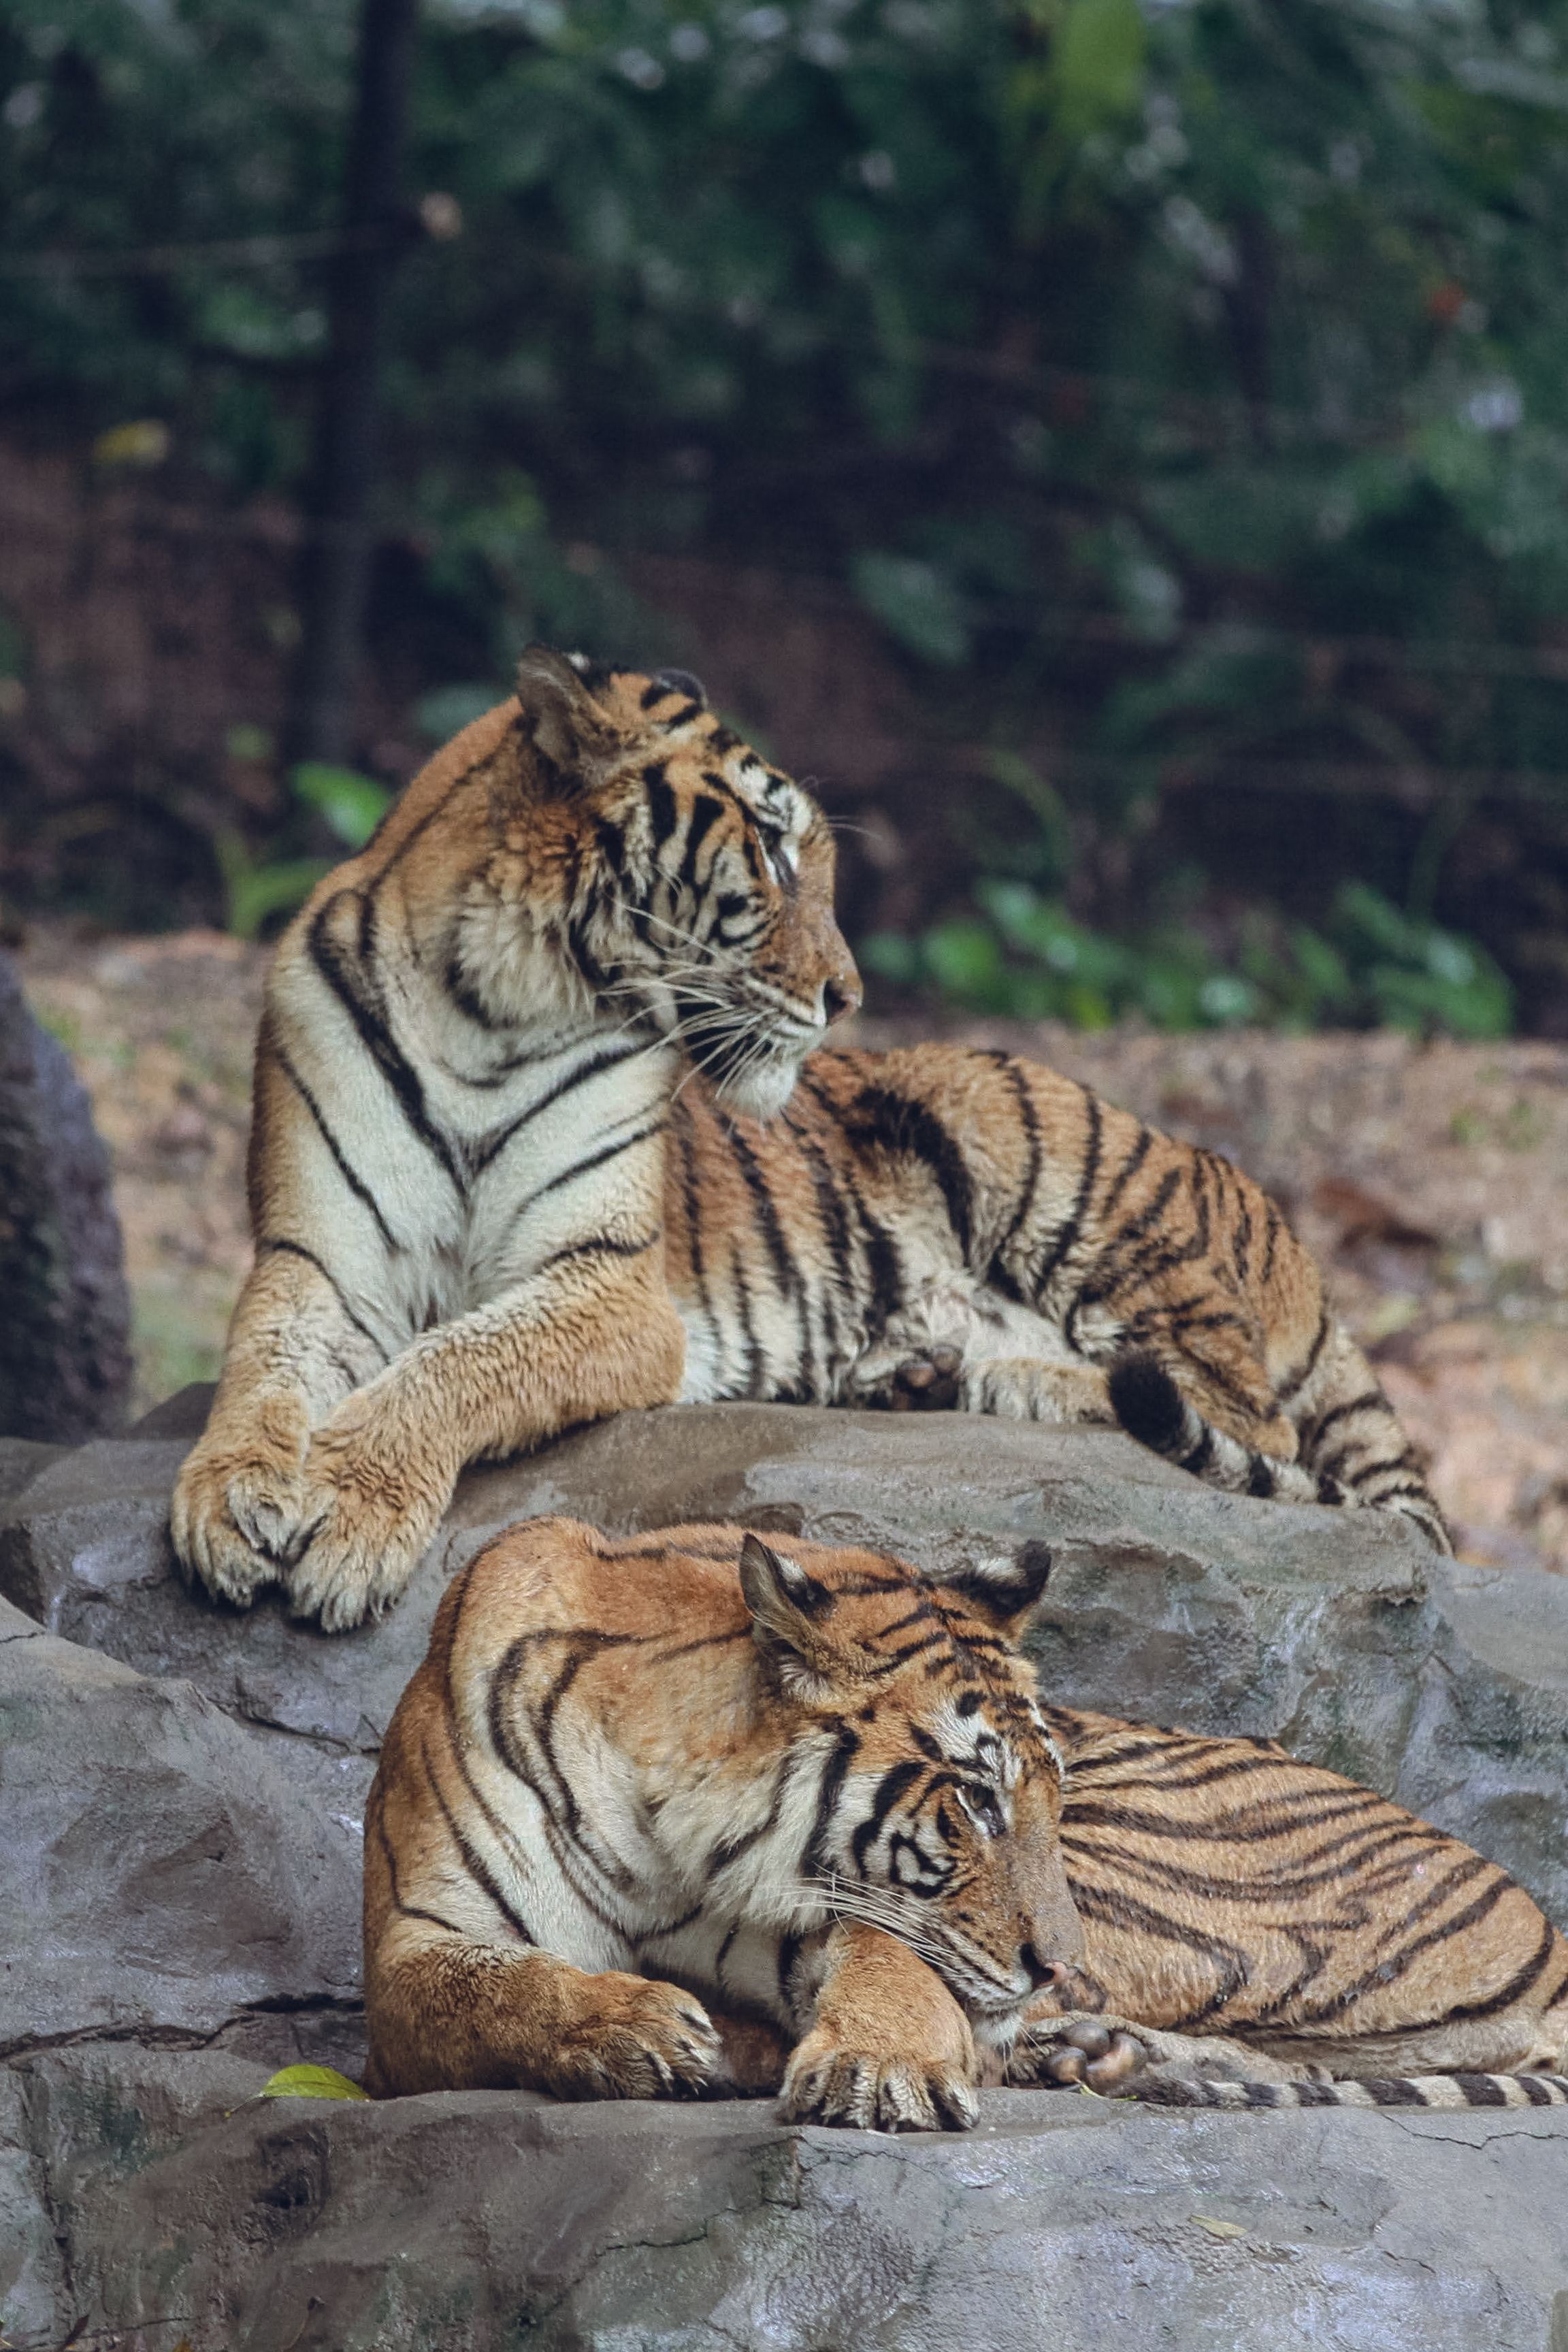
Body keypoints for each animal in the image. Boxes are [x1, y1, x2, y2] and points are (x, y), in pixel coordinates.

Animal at [170, 645, 1447, 1634]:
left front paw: (349, 1522)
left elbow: (453, 1364)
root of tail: (1270, 1211)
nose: (851, 996)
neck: (489, 1002)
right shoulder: (317, 1256)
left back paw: (993, 1380)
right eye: (776, 852)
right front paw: (231, 1502)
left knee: (1238, 1414)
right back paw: (916, 1373)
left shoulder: (608, 1285)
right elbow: (261, 1367)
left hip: (1061, 1174)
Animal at [362, 1519, 1568, 2124]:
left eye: (1047, 1797)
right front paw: (640, 2031)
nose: (1055, 1966)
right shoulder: (411, 1941)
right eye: (977, 1800)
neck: (669, 1836)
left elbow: (901, 1972)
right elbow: (493, 1989)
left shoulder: (854, 1917)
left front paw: (875, 2067)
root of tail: (1547, 1931)